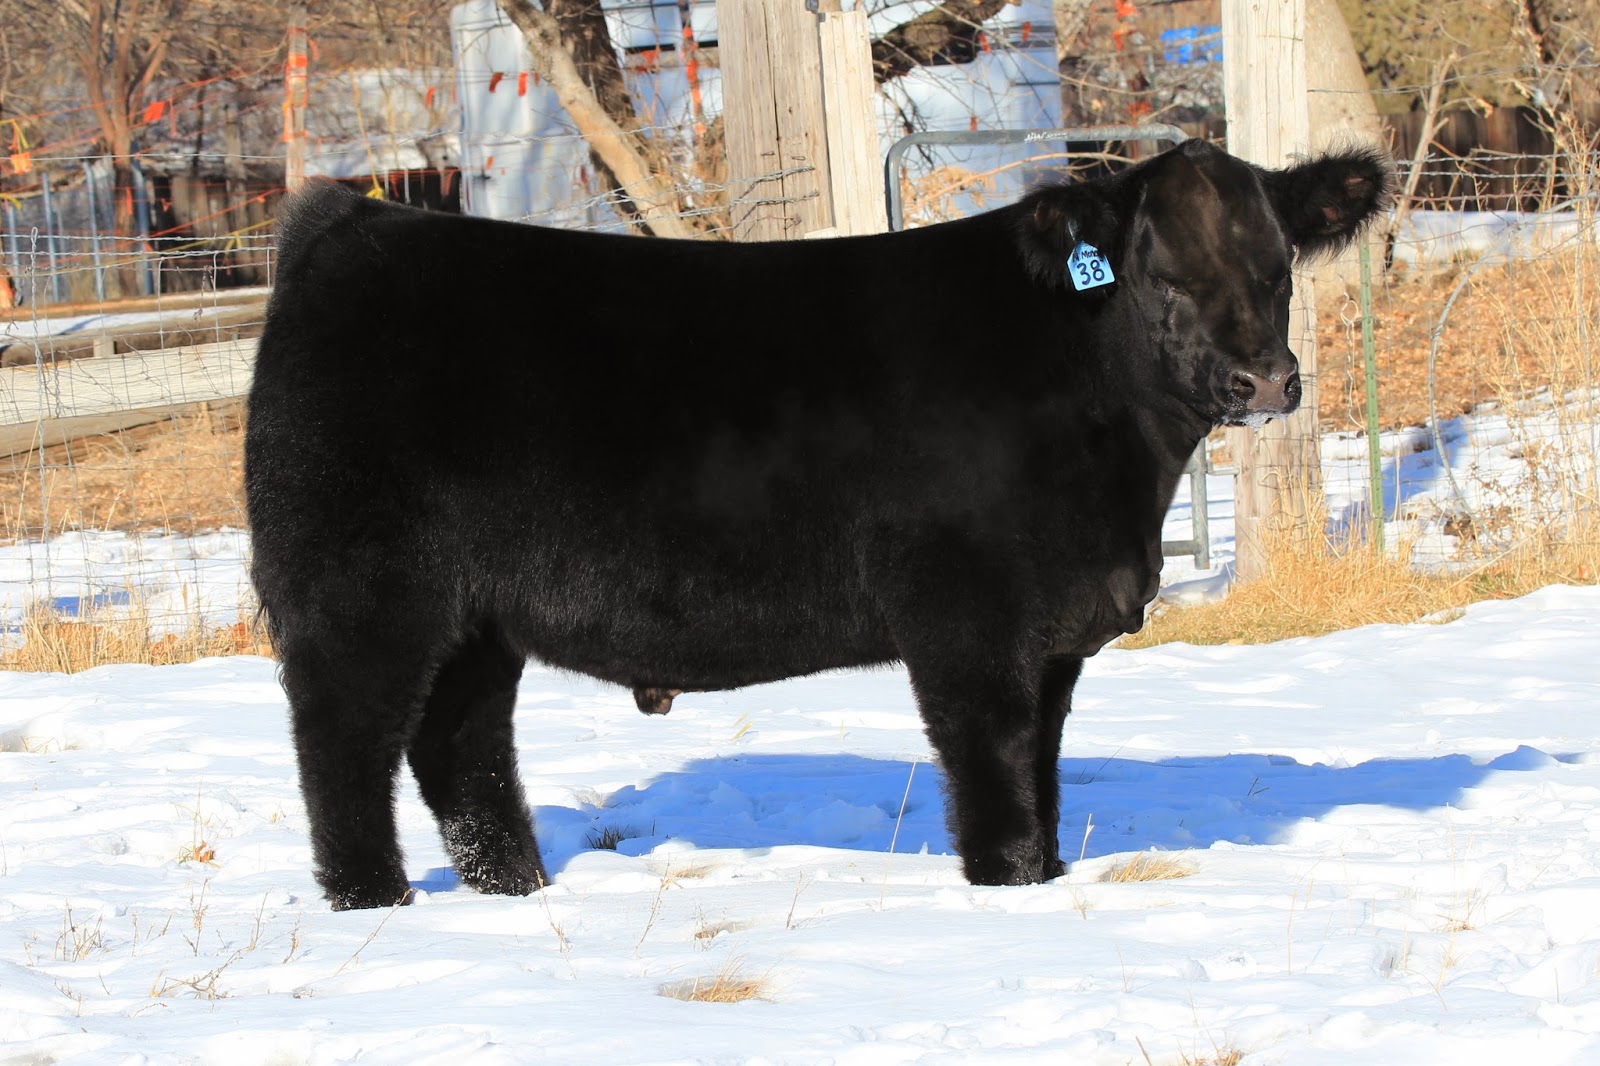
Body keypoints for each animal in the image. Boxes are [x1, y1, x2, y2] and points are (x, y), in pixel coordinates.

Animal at [245, 138, 1392, 910]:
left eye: (1281, 264)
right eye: (1163, 274)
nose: (1264, 379)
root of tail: (354, 224)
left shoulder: (1057, 628)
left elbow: (1047, 762)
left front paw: (1051, 871)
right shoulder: (967, 618)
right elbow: (995, 760)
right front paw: (1012, 885)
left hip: (476, 618)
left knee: (460, 745)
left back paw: (515, 891)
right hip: (357, 595)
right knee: (343, 748)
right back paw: (375, 901)